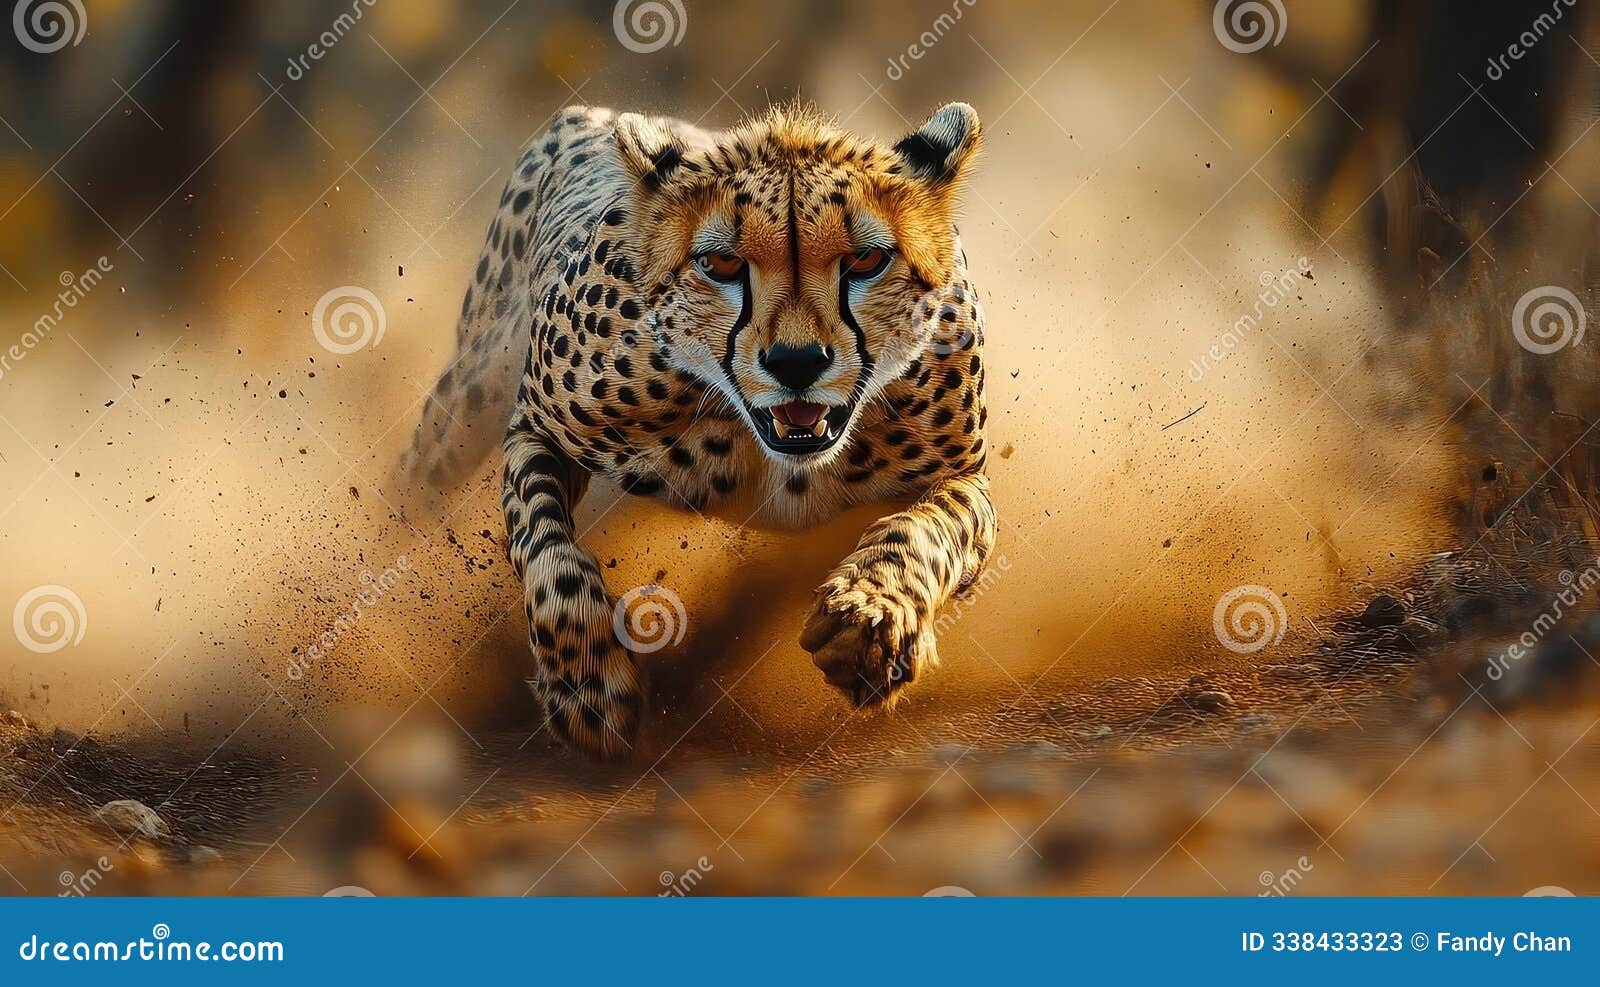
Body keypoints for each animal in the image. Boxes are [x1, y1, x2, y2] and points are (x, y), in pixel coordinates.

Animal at [398, 101, 996, 758]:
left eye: (866, 260)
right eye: (722, 264)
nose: (796, 362)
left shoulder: (964, 474)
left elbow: (928, 532)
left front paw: (871, 620)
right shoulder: (537, 428)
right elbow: (547, 550)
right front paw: (585, 680)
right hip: (466, 399)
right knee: (412, 484)